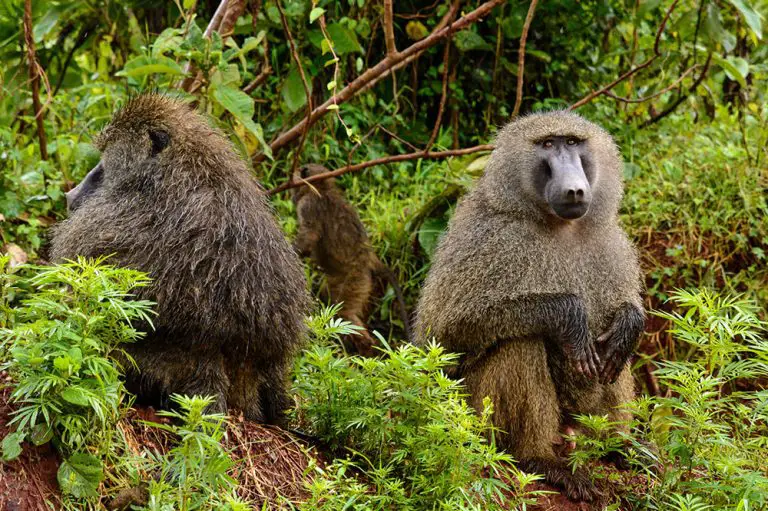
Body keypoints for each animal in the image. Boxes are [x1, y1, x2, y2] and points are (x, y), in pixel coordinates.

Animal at [291, 163, 411, 356]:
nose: (294, 173)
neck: (322, 188)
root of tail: (370, 258)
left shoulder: (308, 205)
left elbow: (309, 235)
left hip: (355, 280)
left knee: (345, 312)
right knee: (330, 296)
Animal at [414, 111, 645, 501]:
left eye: (573, 143)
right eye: (548, 144)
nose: (574, 189)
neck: (559, 224)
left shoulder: (611, 240)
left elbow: (619, 325)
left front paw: (630, 321)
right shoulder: (487, 236)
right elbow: (444, 337)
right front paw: (569, 315)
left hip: (581, 424)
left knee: (615, 359)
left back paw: (616, 448)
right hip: (474, 416)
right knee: (522, 342)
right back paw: (540, 460)